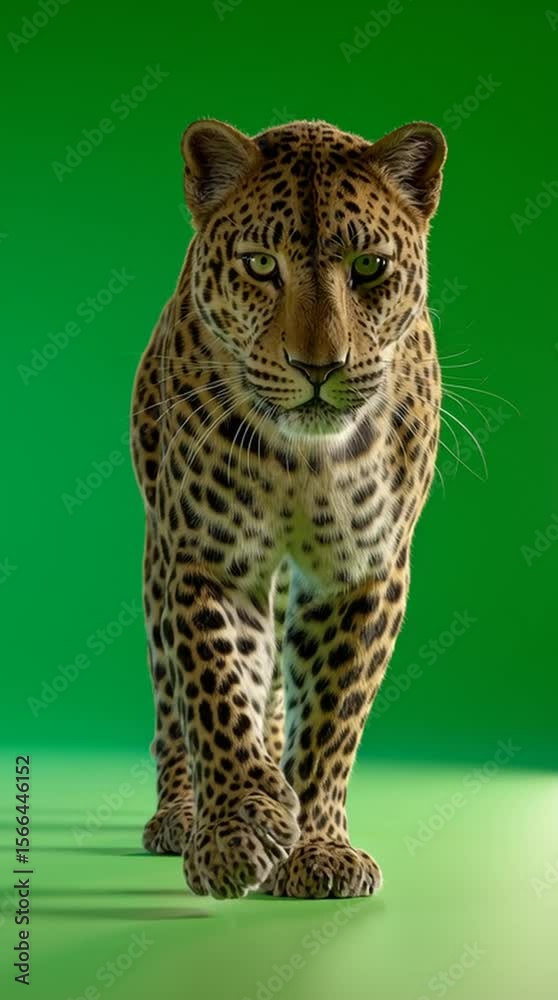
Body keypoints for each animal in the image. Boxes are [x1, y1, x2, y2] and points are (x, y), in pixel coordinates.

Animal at [130, 116, 447, 899]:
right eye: (259, 264)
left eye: (369, 267)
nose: (318, 367)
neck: (302, 462)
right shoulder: (209, 558)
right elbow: (214, 686)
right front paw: (235, 829)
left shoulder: (361, 572)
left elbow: (333, 715)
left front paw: (316, 847)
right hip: (158, 549)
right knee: (172, 697)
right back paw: (181, 811)